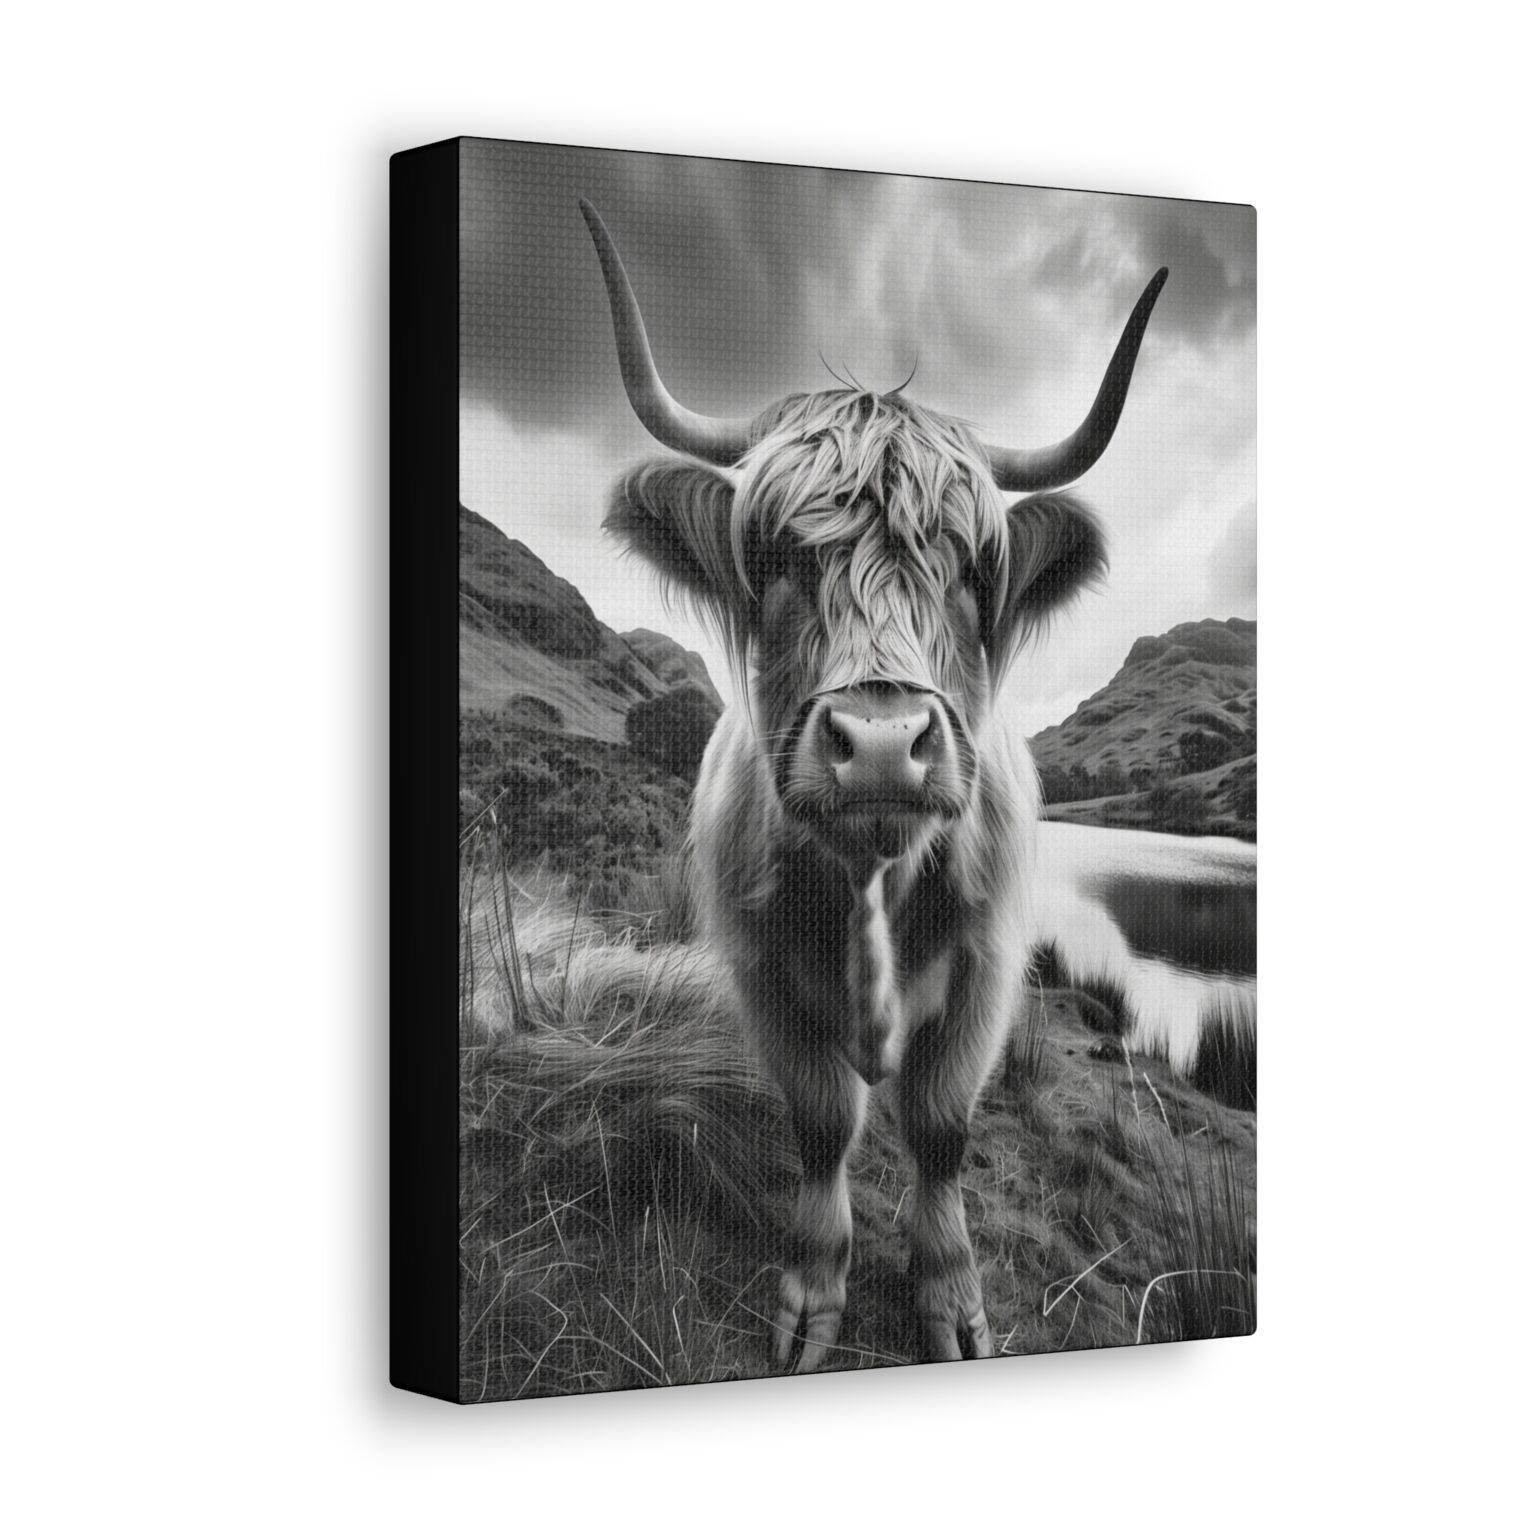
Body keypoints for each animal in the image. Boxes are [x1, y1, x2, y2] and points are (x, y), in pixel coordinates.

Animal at [580, 199, 1166, 1370]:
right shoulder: (759, 967)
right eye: (777, 559)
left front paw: (951, 1298)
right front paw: (814, 1293)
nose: (886, 743)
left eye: (974, 570)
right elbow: (822, 1122)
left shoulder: (990, 965)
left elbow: (940, 1128)